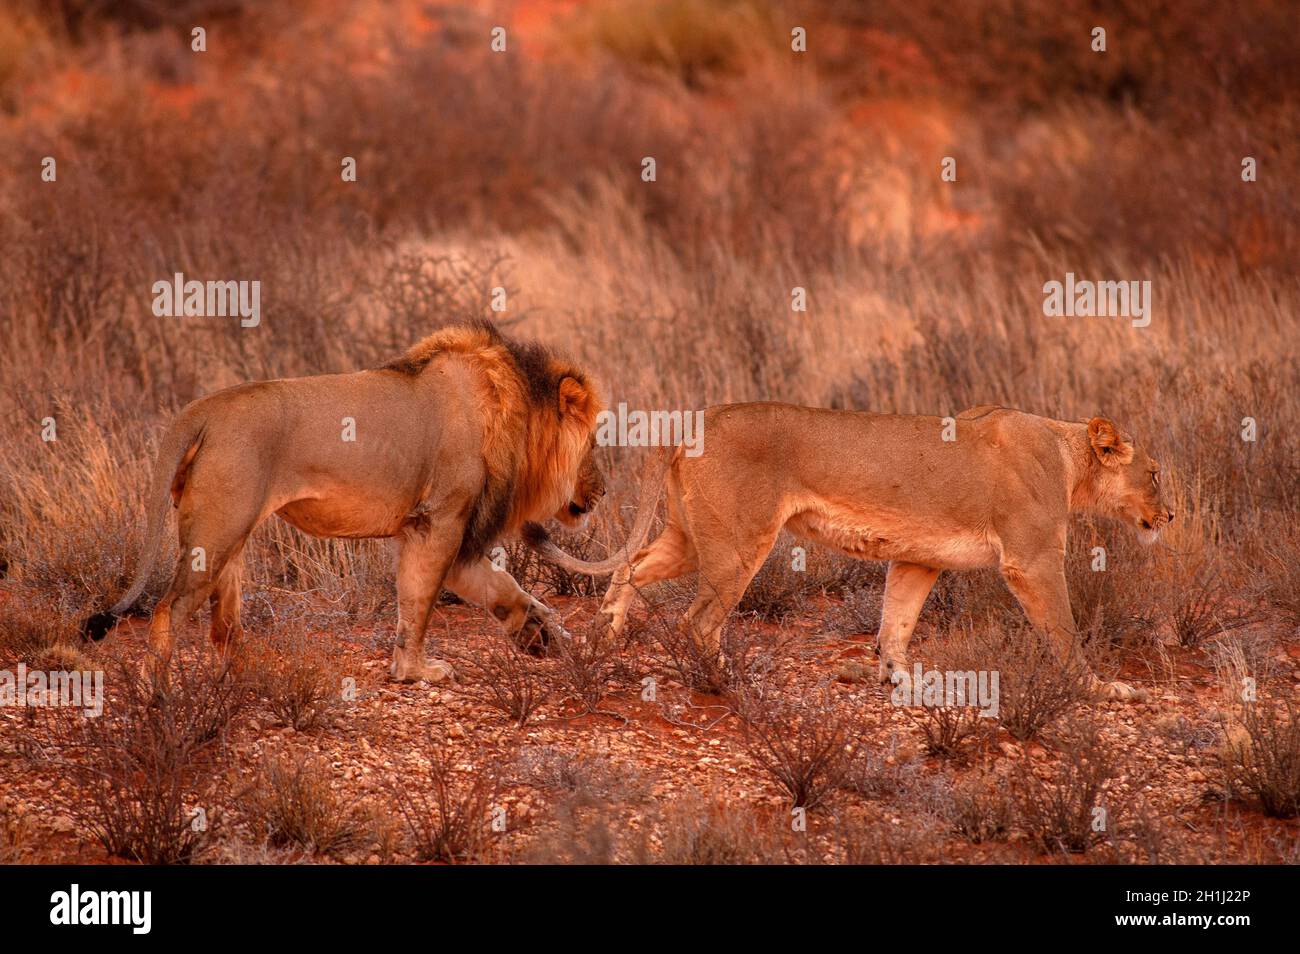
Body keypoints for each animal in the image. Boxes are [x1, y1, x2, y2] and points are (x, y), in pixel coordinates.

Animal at [82, 321, 607, 684]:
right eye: (595, 444)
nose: (601, 492)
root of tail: (204, 409)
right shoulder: (440, 520)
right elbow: (418, 603)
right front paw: (415, 671)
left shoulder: (448, 532)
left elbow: (504, 588)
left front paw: (544, 634)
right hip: (217, 531)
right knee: (168, 610)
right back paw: (159, 694)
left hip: (231, 533)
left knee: (223, 625)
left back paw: (250, 675)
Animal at [525, 403, 1175, 702]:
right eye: (1155, 474)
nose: (1170, 516)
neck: (1068, 457)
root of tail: (696, 420)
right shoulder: (1032, 559)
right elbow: (1064, 629)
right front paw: (1101, 688)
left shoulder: (918, 558)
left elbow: (897, 622)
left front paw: (901, 681)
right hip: (739, 543)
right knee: (699, 620)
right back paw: (726, 682)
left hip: (689, 537)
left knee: (632, 569)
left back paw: (604, 638)